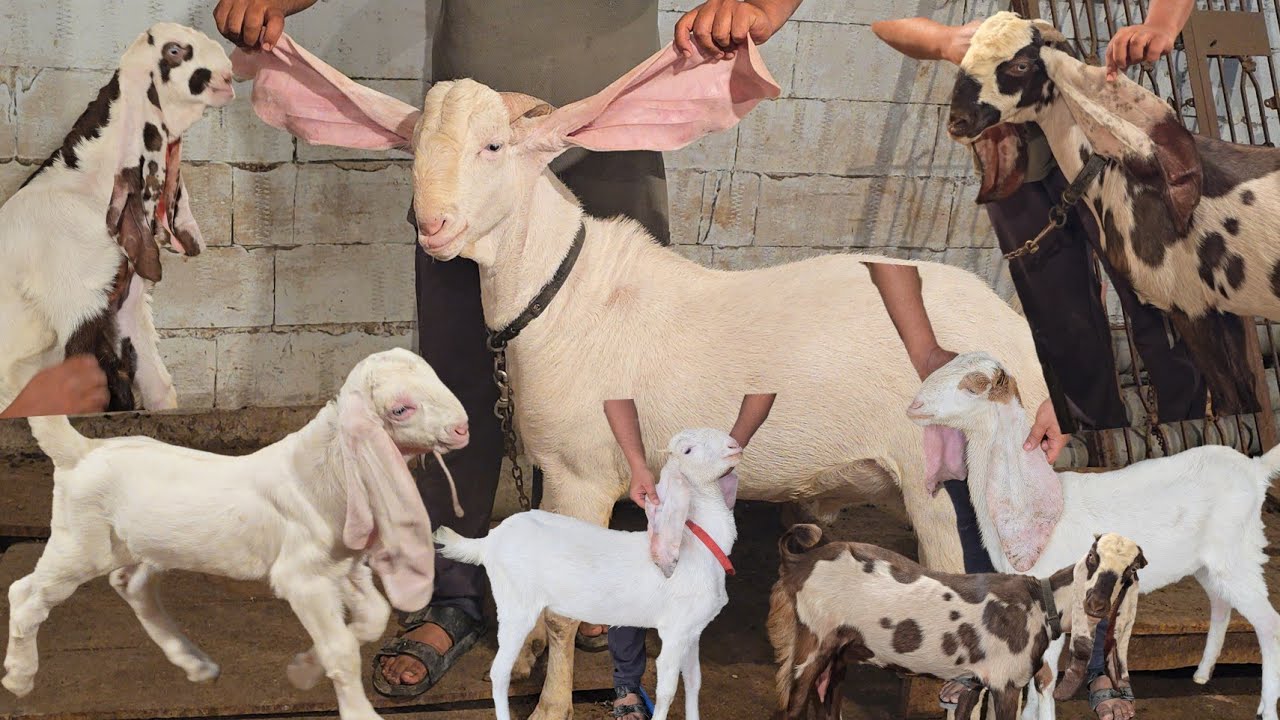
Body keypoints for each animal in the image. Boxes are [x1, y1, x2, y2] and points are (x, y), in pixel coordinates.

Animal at [0, 23, 232, 414]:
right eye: (174, 50)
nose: (228, 77)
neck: (86, 189)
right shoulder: (77, 302)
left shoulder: (127, 303)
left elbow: (158, 388)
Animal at [2, 348, 470, 720]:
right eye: (401, 409)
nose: (463, 427)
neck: (323, 474)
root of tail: (82, 452)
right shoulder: (301, 577)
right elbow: (340, 647)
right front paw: (358, 712)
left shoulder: (343, 565)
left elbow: (373, 619)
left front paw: (305, 666)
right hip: (80, 541)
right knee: (25, 594)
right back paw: (20, 678)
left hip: (139, 545)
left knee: (130, 584)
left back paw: (194, 663)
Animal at [435, 428, 742, 720]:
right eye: (687, 450)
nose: (735, 446)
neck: (698, 546)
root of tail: (490, 540)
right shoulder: (674, 630)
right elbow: (667, 691)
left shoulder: (693, 632)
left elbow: (694, 683)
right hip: (515, 605)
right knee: (499, 671)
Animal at [769, 526, 1145, 720]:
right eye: (1093, 557)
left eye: (1130, 570)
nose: (1095, 604)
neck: (1040, 605)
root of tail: (801, 562)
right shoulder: (1006, 683)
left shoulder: (975, 682)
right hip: (812, 643)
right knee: (791, 708)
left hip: (838, 655)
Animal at [909, 351, 1280, 720]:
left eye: (974, 386)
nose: (914, 405)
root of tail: (1255, 468)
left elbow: (1044, 679)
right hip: (1210, 564)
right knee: (1221, 604)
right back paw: (1203, 674)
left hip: (1237, 555)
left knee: (1269, 624)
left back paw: (1267, 706)